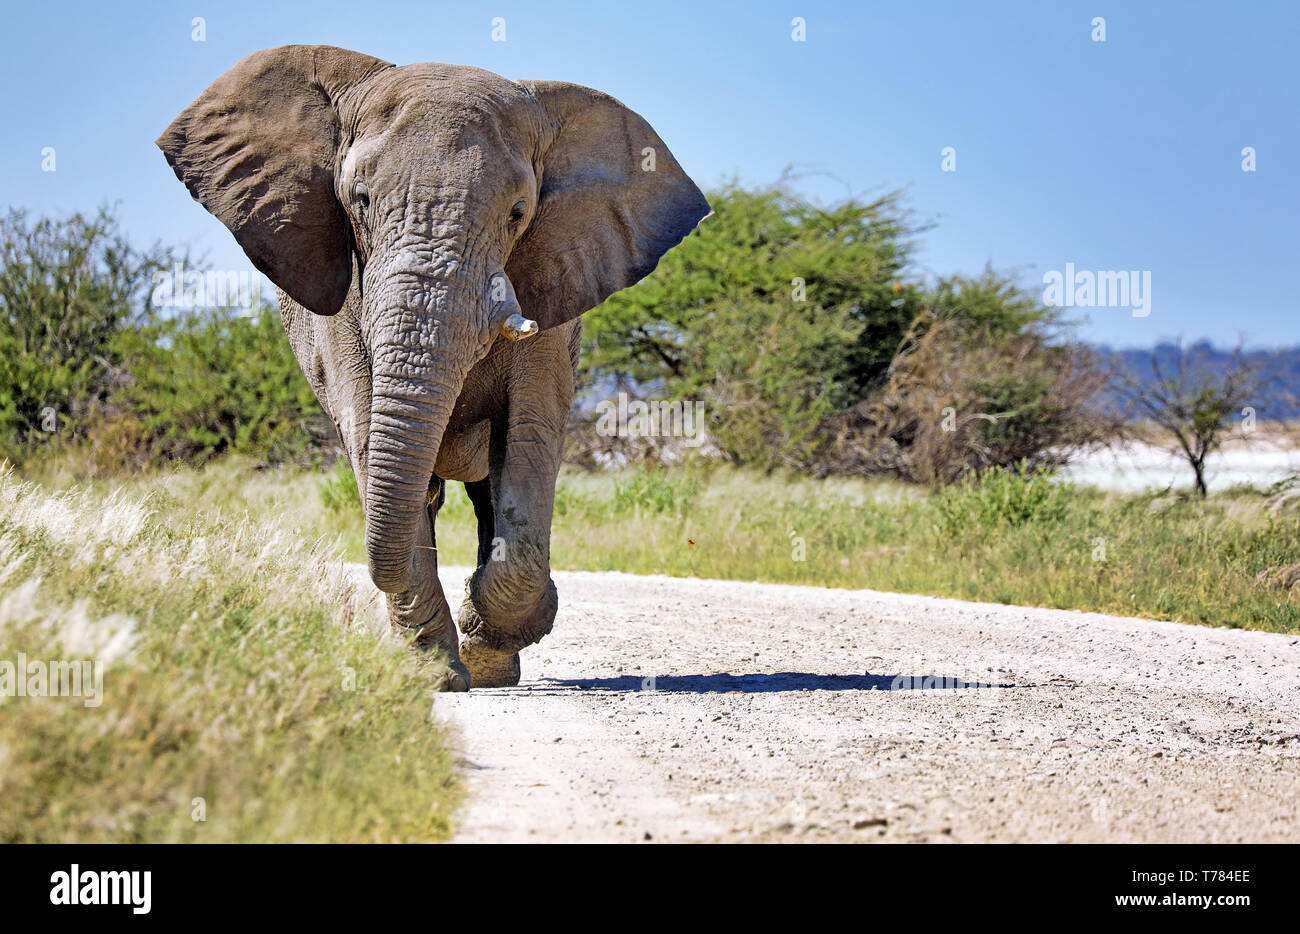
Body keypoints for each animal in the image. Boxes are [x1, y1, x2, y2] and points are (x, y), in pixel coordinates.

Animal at [157, 45, 709, 690]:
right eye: (360, 200)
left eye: (519, 212)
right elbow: (368, 432)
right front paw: (436, 673)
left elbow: (531, 433)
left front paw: (486, 633)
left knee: (490, 487)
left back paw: (491, 660)